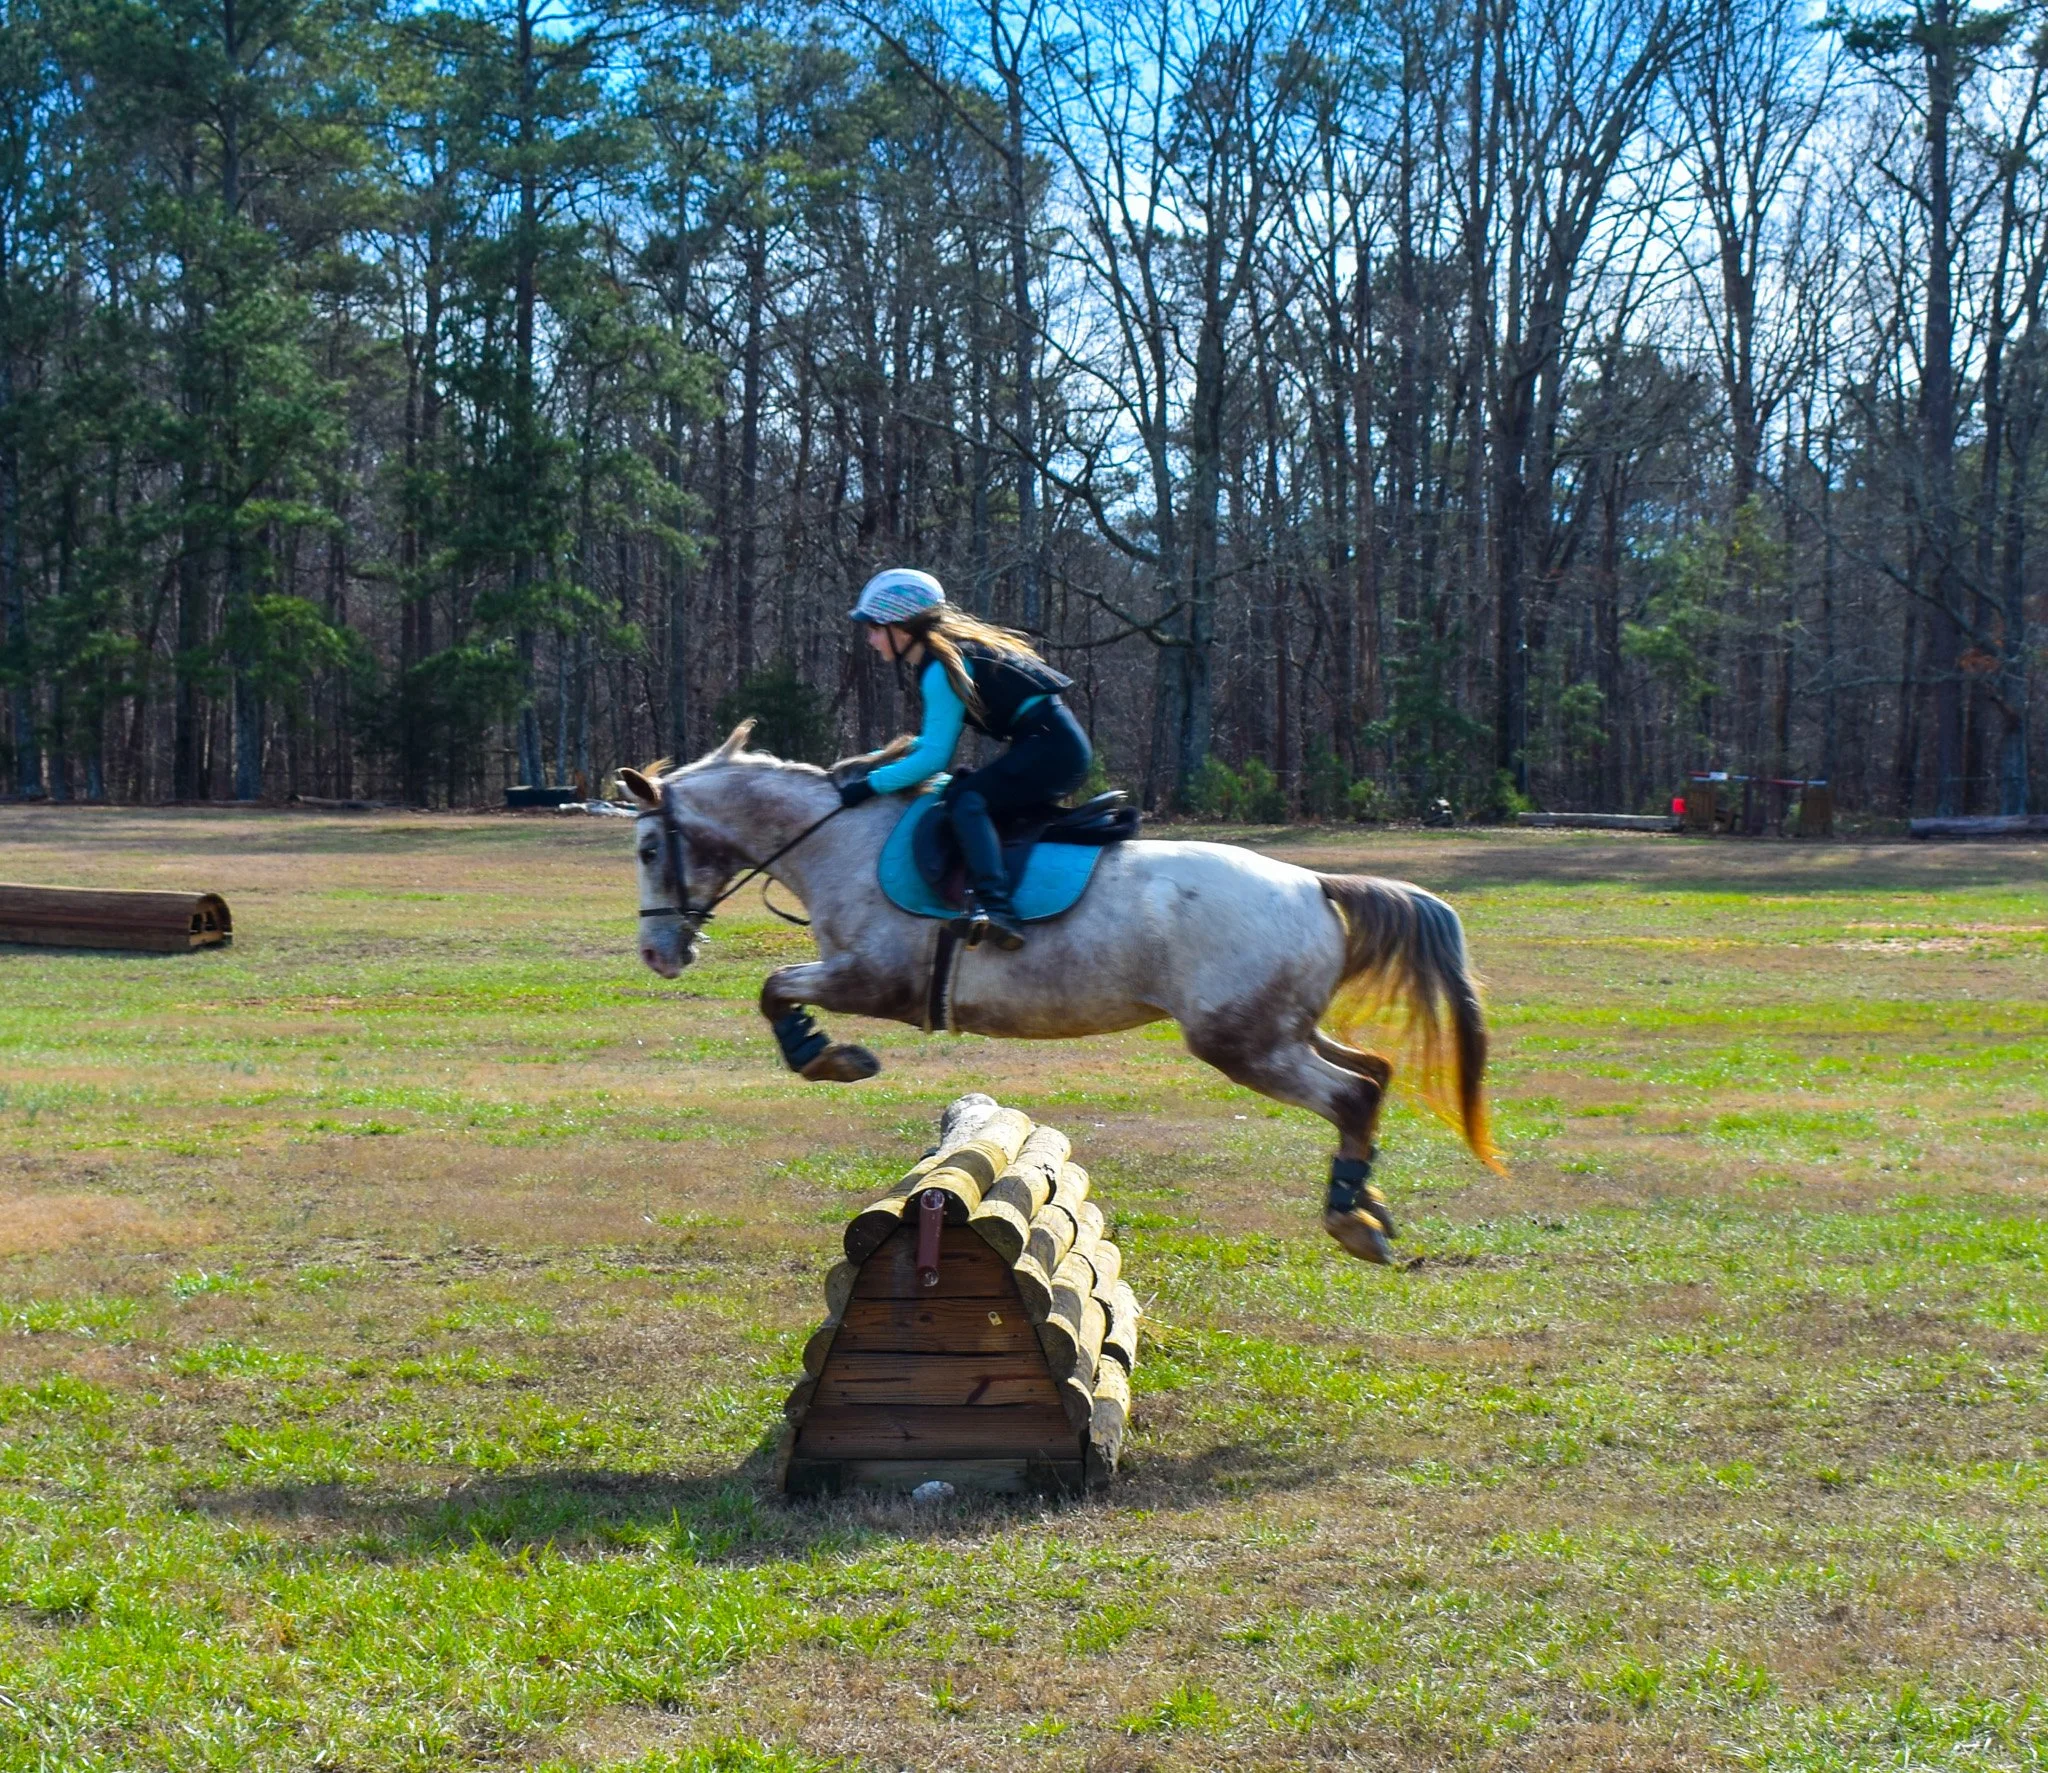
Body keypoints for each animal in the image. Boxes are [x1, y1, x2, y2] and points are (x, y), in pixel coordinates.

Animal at [620, 723, 1502, 1264]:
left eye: (647, 847)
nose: (658, 953)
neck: (841, 840)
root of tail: (1315, 883)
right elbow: (775, 988)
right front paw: (820, 1049)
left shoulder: (874, 977)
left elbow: (774, 988)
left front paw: (827, 1055)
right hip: (1279, 1028)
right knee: (1374, 1073)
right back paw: (1367, 1205)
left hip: (1243, 1043)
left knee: (1351, 1091)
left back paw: (1348, 1218)